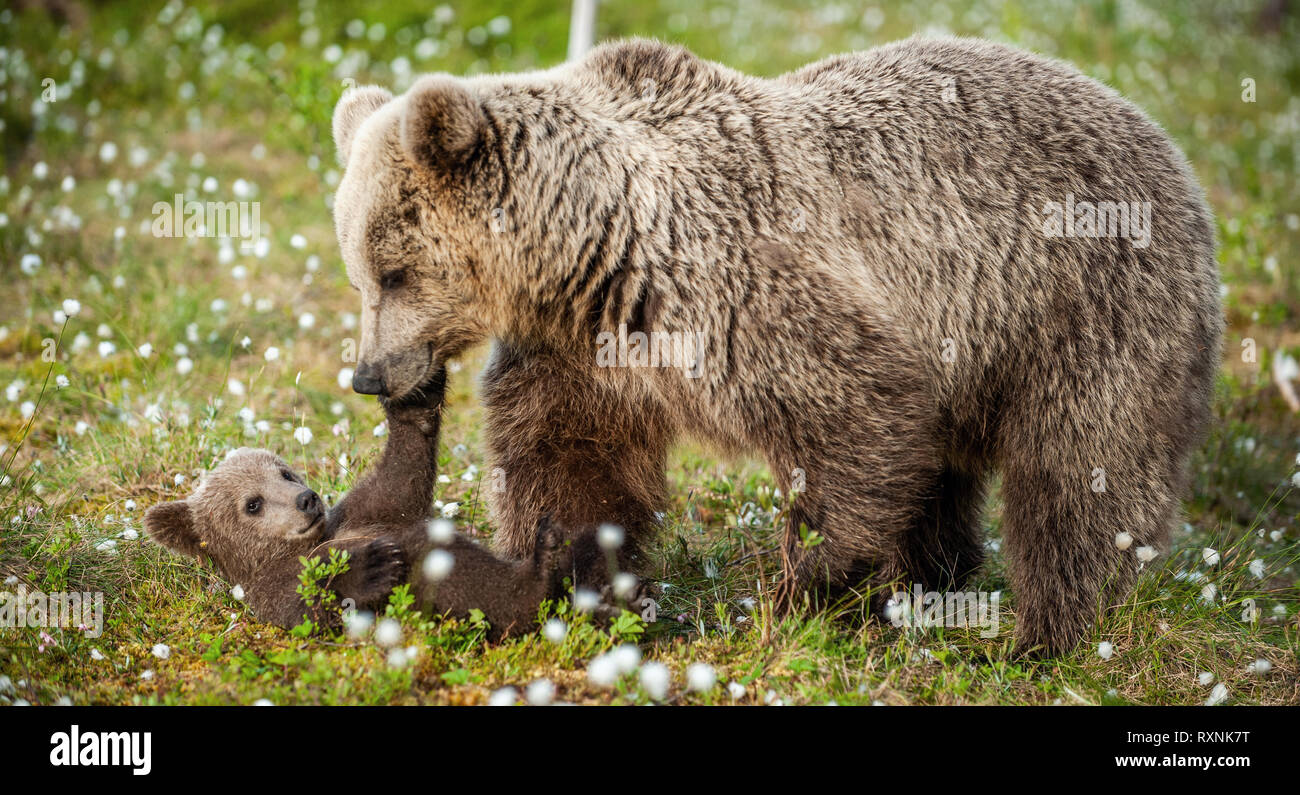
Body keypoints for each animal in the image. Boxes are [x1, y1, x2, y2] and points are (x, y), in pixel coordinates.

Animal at [143, 370, 589, 639]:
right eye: (252, 504)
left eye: (284, 473)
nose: (306, 500)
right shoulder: (270, 589)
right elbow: (308, 611)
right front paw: (368, 567)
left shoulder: (364, 512)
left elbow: (400, 477)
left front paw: (417, 399)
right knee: (496, 596)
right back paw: (543, 566)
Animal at [328, 36, 1222, 655]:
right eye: (360, 271)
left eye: (396, 270)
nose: (371, 374)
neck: (594, 250)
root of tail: (1161, 140)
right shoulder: (582, 347)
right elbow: (569, 458)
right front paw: (569, 578)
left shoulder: (744, 289)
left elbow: (853, 421)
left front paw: (800, 589)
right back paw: (931, 582)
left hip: (1083, 306)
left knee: (1079, 473)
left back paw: (1048, 630)